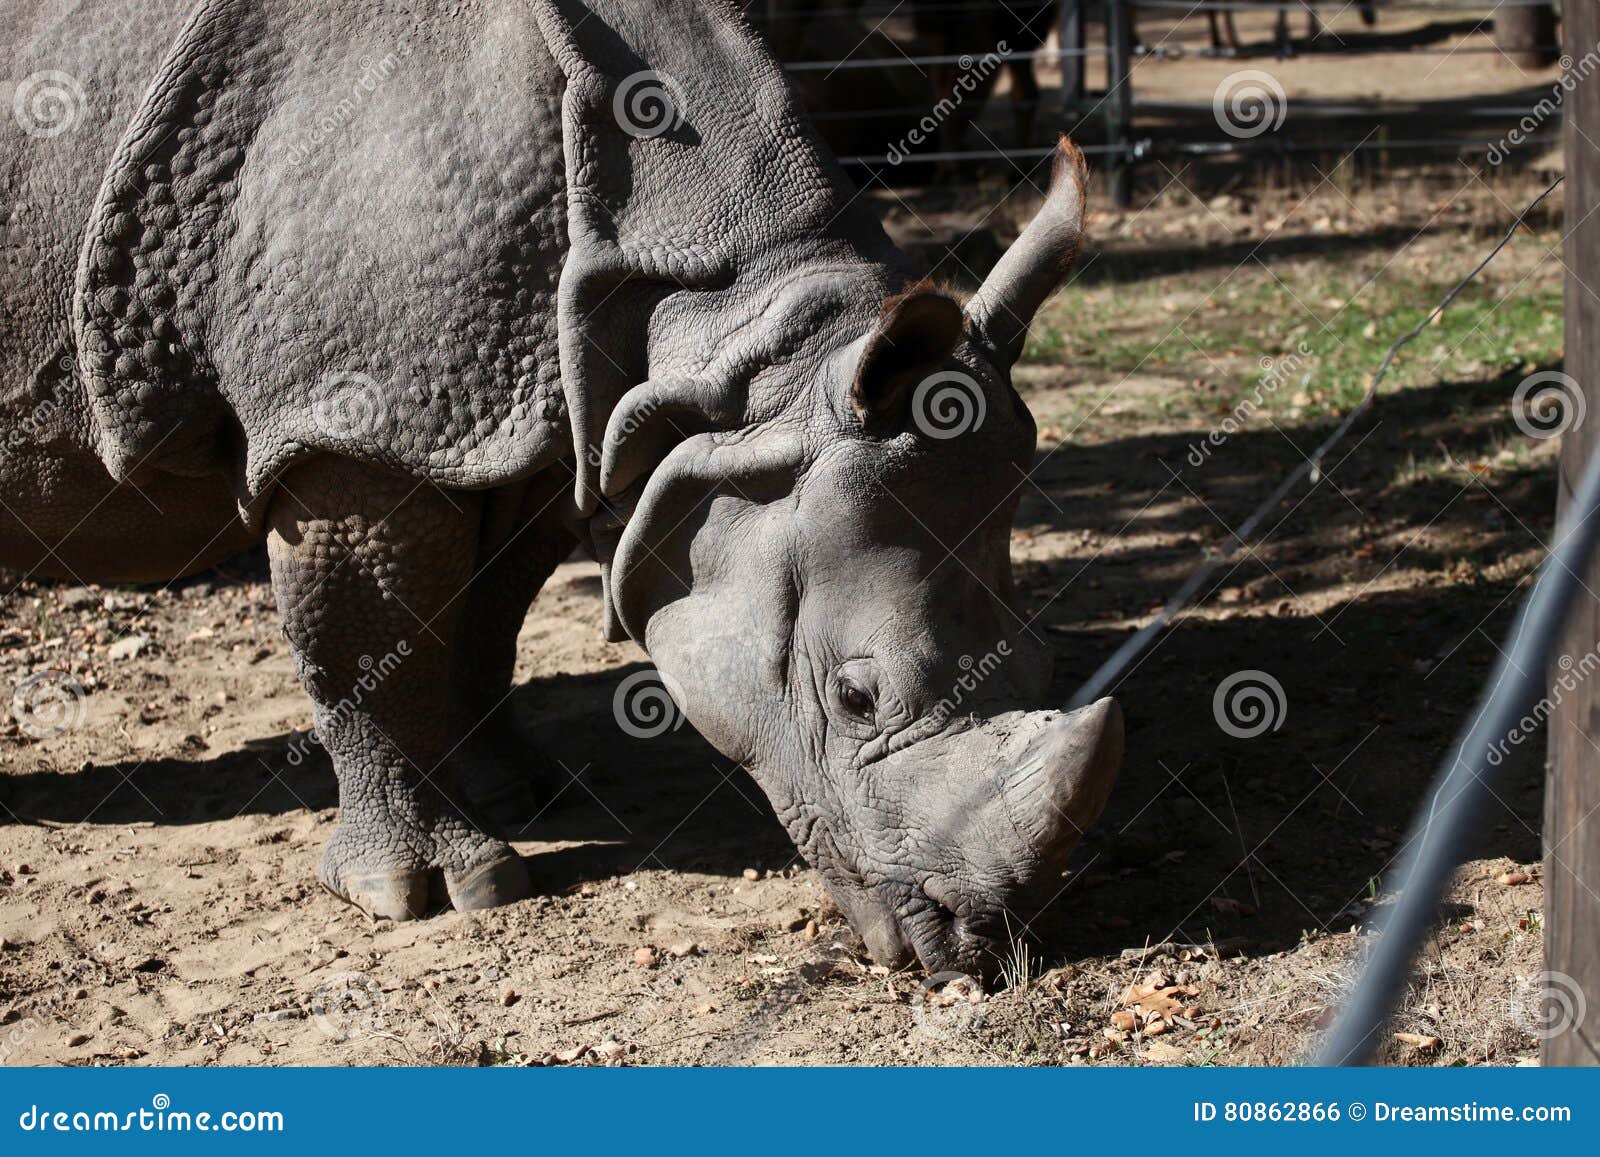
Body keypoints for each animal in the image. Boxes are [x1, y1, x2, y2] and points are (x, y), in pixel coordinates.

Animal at [1, 0, 1122, 979]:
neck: (741, 353)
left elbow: (484, 618)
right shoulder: (352, 423)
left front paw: (525, 789)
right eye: (855, 696)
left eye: (1042, 657)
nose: (987, 944)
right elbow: (365, 643)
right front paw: (430, 890)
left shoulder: (544, 423)